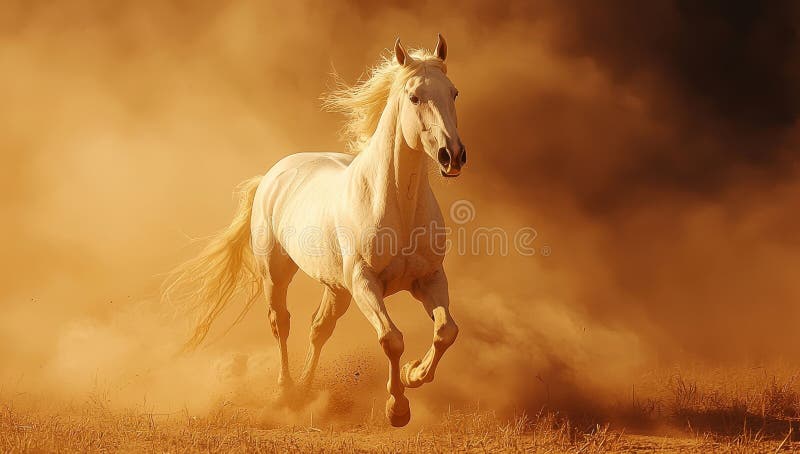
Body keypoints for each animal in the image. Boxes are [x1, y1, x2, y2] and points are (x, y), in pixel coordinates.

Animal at [164, 35, 466, 427]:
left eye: (453, 93)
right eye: (415, 97)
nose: (452, 155)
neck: (398, 204)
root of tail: (273, 174)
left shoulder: (428, 279)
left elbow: (445, 332)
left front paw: (414, 373)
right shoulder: (365, 282)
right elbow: (391, 339)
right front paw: (398, 408)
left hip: (336, 288)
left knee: (319, 328)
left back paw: (305, 393)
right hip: (277, 275)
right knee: (282, 323)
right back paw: (285, 393)